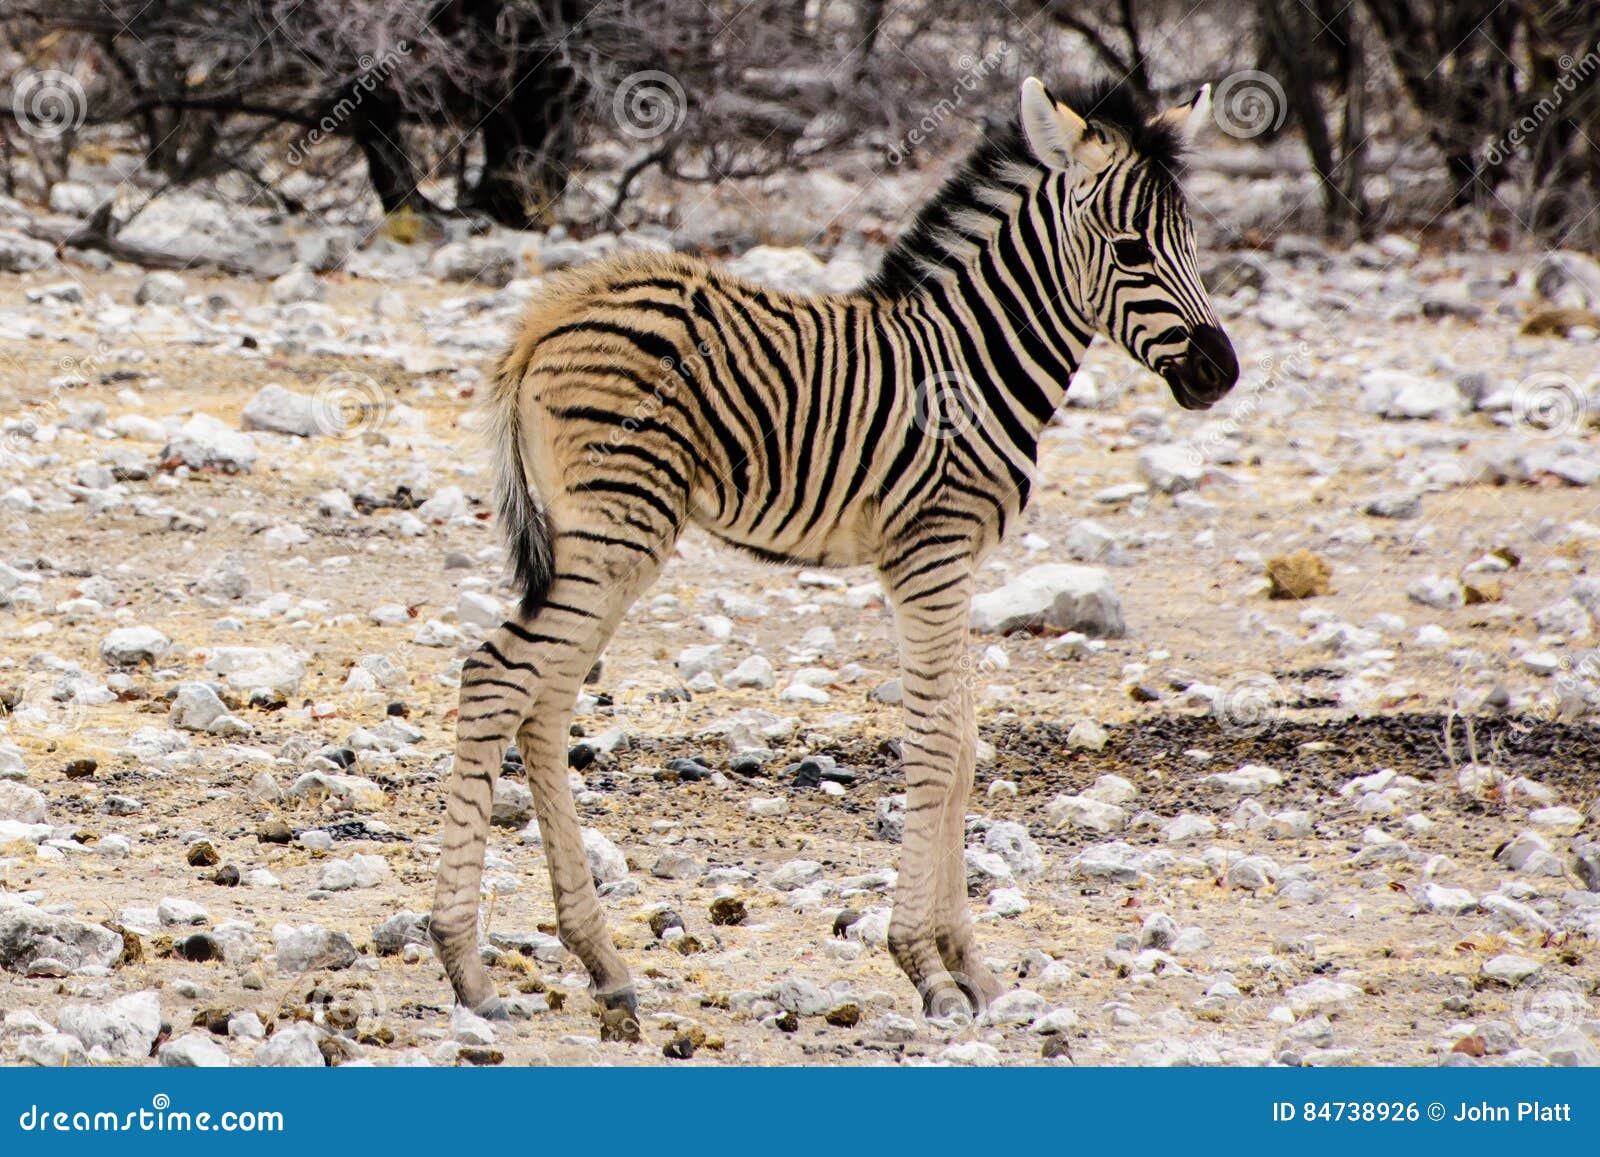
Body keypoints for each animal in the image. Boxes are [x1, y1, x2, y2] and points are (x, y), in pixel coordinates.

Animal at [430, 74, 1239, 1025]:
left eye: (1190, 243)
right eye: (1130, 249)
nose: (1221, 373)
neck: (972, 363)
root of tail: (549, 316)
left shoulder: (952, 561)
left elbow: (966, 743)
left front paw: (972, 965)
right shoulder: (930, 552)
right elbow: (937, 742)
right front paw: (925, 966)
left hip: (605, 536)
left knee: (544, 704)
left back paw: (601, 960)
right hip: (617, 527)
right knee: (495, 679)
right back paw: (466, 966)